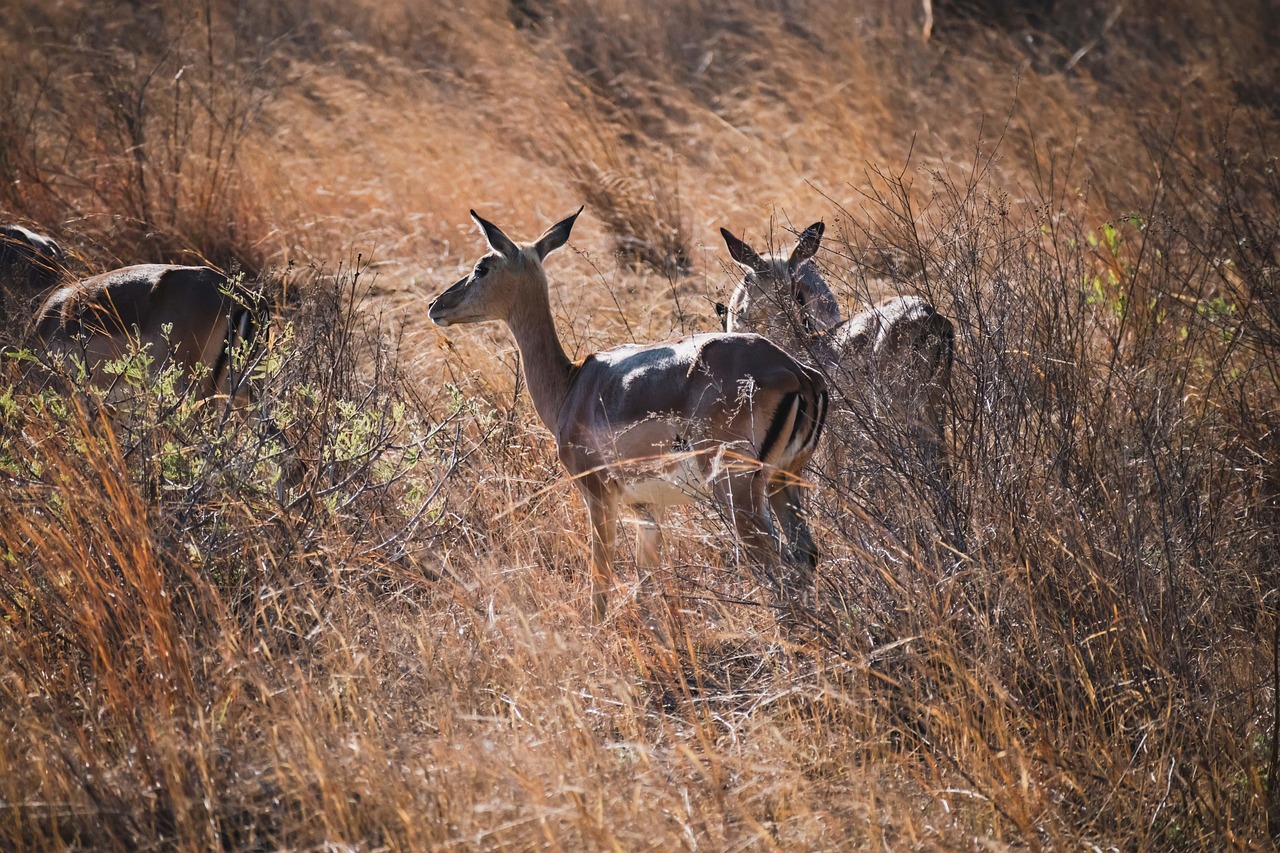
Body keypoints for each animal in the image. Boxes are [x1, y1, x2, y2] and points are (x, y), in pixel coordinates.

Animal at [429, 209, 828, 620]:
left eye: (482, 267)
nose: (437, 306)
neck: (571, 385)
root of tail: (797, 372)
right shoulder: (647, 508)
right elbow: (645, 586)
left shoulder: (598, 495)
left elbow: (600, 581)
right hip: (784, 480)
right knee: (804, 555)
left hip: (738, 491)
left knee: (777, 563)